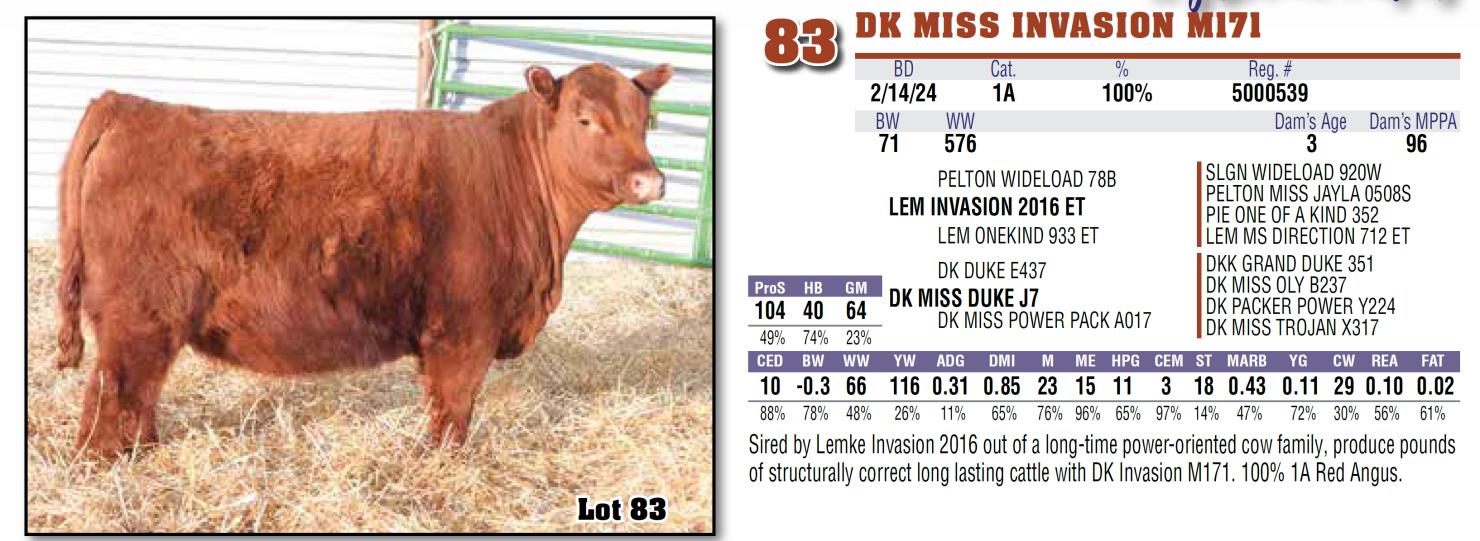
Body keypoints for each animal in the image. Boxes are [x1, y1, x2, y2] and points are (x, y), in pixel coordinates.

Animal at [53, 62, 674, 455]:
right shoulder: (464, 329)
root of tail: (126, 105)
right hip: (138, 316)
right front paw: (444, 466)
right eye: (585, 119)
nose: (649, 180)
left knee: (138, 396)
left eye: (645, 120)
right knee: (111, 398)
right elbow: (454, 408)